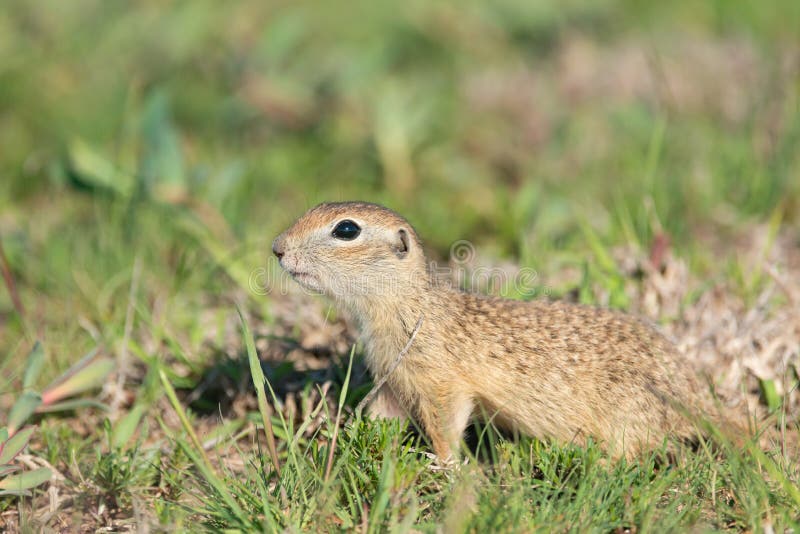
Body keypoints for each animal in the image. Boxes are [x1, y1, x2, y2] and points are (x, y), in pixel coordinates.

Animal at [272, 201, 732, 461]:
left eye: (346, 229)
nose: (277, 248)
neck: (411, 305)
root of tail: (697, 396)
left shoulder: (441, 381)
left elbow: (446, 423)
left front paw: (444, 463)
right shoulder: (394, 378)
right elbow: (382, 415)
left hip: (627, 412)